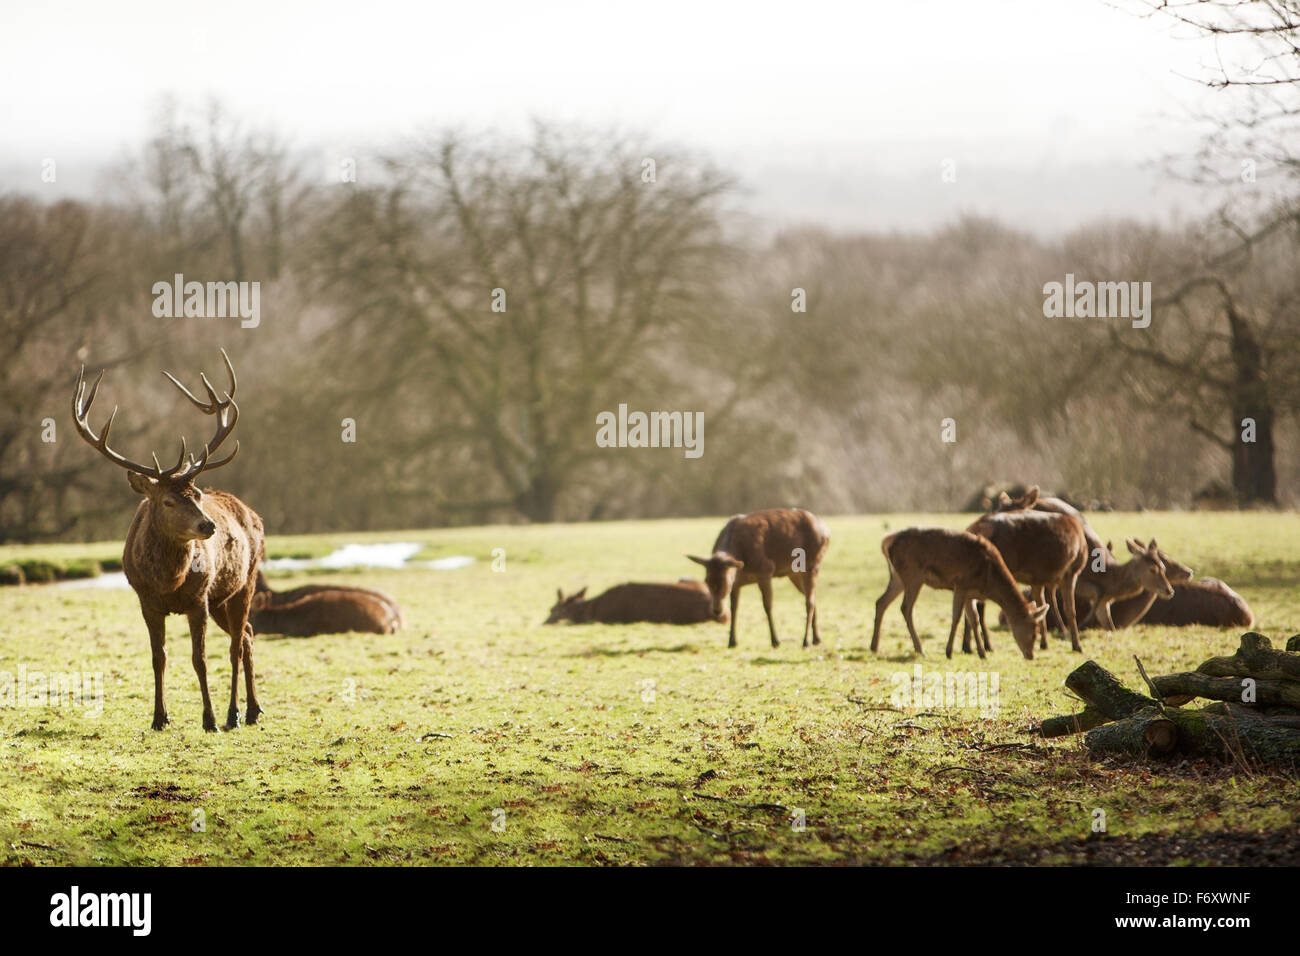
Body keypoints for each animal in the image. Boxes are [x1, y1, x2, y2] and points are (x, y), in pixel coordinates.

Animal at [72, 349, 263, 732]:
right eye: (168, 501)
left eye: (198, 493)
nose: (208, 526)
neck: (167, 581)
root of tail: (254, 515)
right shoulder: (146, 601)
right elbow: (157, 658)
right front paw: (159, 717)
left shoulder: (199, 599)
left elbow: (199, 659)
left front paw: (209, 719)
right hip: (222, 598)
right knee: (248, 635)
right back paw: (252, 711)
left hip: (244, 582)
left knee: (237, 644)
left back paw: (234, 713)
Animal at [687, 508, 829, 648]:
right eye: (706, 580)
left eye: (726, 582)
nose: (717, 610)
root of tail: (826, 531)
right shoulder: (737, 583)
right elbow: (734, 608)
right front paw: (732, 641)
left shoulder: (765, 570)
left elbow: (767, 605)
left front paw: (775, 641)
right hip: (793, 573)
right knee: (812, 596)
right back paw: (817, 639)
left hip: (813, 563)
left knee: (809, 601)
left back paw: (806, 641)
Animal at [869, 526, 1048, 659]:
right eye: (1034, 633)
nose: (1030, 655)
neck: (989, 582)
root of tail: (887, 542)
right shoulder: (960, 584)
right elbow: (956, 617)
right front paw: (949, 652)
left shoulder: (970, 594)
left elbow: (974, 619)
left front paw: (982, 653)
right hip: (913, 575)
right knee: (906, 608)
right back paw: (920, 649)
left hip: (898, 577)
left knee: (881, 602)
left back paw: (874, 646)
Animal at [965, 509, 1088, 652]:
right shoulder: (1071, 572)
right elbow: (1069, 609)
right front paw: (1077, 645)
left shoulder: (1037, 580)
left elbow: (1042, 605)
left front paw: (1044, 643)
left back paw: (971, 647)